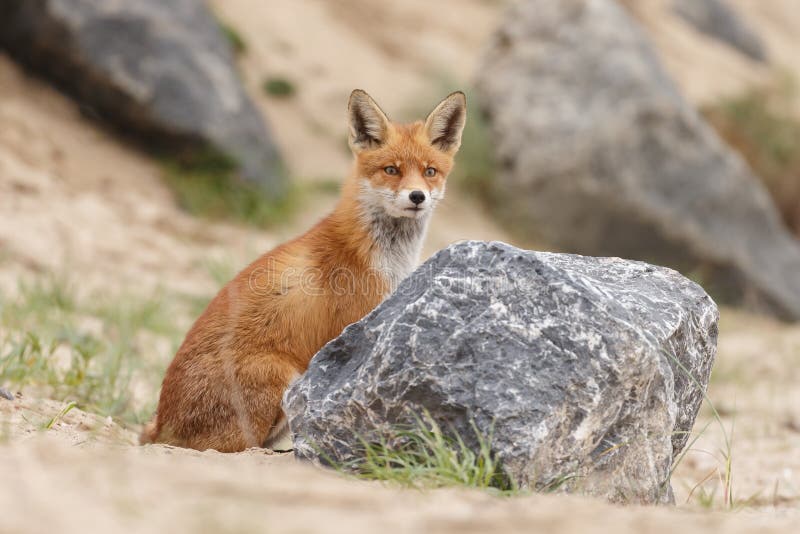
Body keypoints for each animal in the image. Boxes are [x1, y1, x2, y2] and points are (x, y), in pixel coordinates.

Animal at [140, 89, 467, 452]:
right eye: (391, 169)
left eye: (430, 171)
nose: (417, 196)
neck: (384, 257)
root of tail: (161, 421)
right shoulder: (356, 325)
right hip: (280, 375)